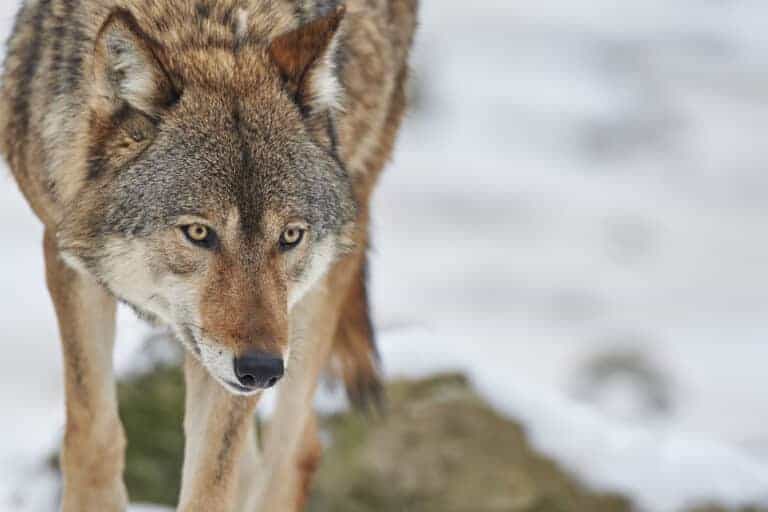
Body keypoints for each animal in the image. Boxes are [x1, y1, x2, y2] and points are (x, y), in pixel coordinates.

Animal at [0, 0, 417, 509]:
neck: (207, 23)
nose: (262, 370)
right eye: (199, 232)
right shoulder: (69, 259)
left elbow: (210, 483)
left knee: (295, 451)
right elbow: (93, 439)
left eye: (290, 236)